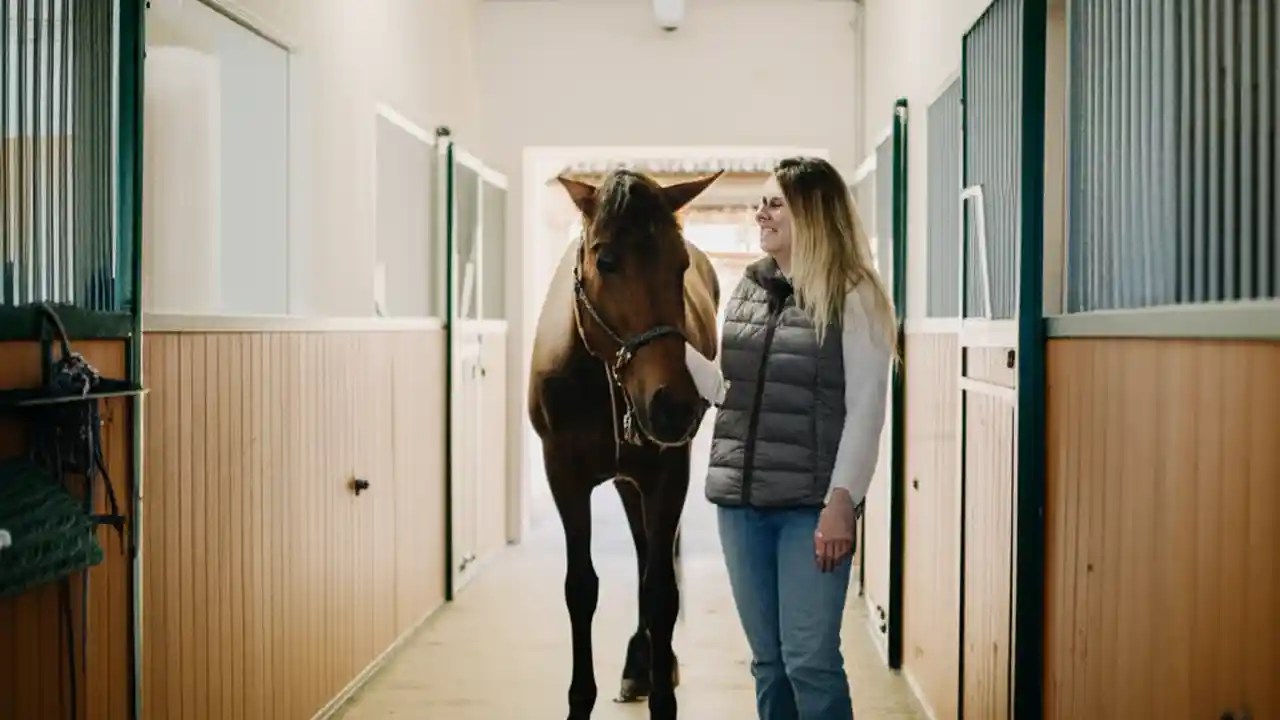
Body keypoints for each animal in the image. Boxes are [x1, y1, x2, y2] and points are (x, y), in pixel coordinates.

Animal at [528, 168, 723, 720]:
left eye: (679, 265)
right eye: (606, 260)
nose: (673, 405)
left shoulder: (668, 474)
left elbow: (661, 590)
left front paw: (662, 694)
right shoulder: (564, 477)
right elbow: (581, 588)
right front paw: (580, 700)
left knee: (652, 559)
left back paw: (649, 663)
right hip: (624, 482)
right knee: (640, 551)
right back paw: (639, 663)